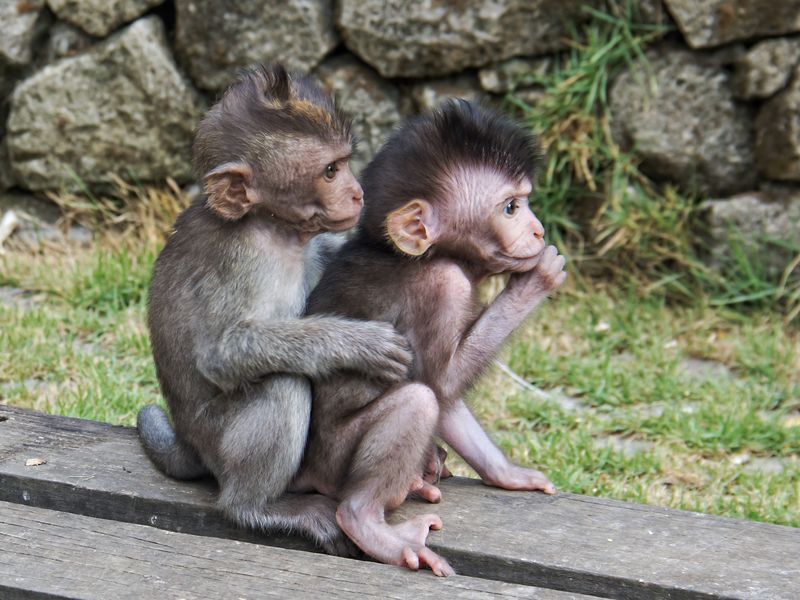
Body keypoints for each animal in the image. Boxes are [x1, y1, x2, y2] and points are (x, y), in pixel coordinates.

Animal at [135, 64, 414, 555]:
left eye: (344, 163)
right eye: (330, 171)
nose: (358, 193)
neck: (269, 224)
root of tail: (190, 442)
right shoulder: (240, 260)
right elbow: (222, 353)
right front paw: (360, 343)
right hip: (219, 441)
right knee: (283, 384)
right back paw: (257, 508)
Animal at [292, 100, 567, 575]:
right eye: (511, 208)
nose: (539, 230)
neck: (418, 255)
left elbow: (448, 398)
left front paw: (507, 474)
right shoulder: (443, 285)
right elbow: (441, 382)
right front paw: (534, 283)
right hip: (333, 463)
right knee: (417, 401)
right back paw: (367, 521)